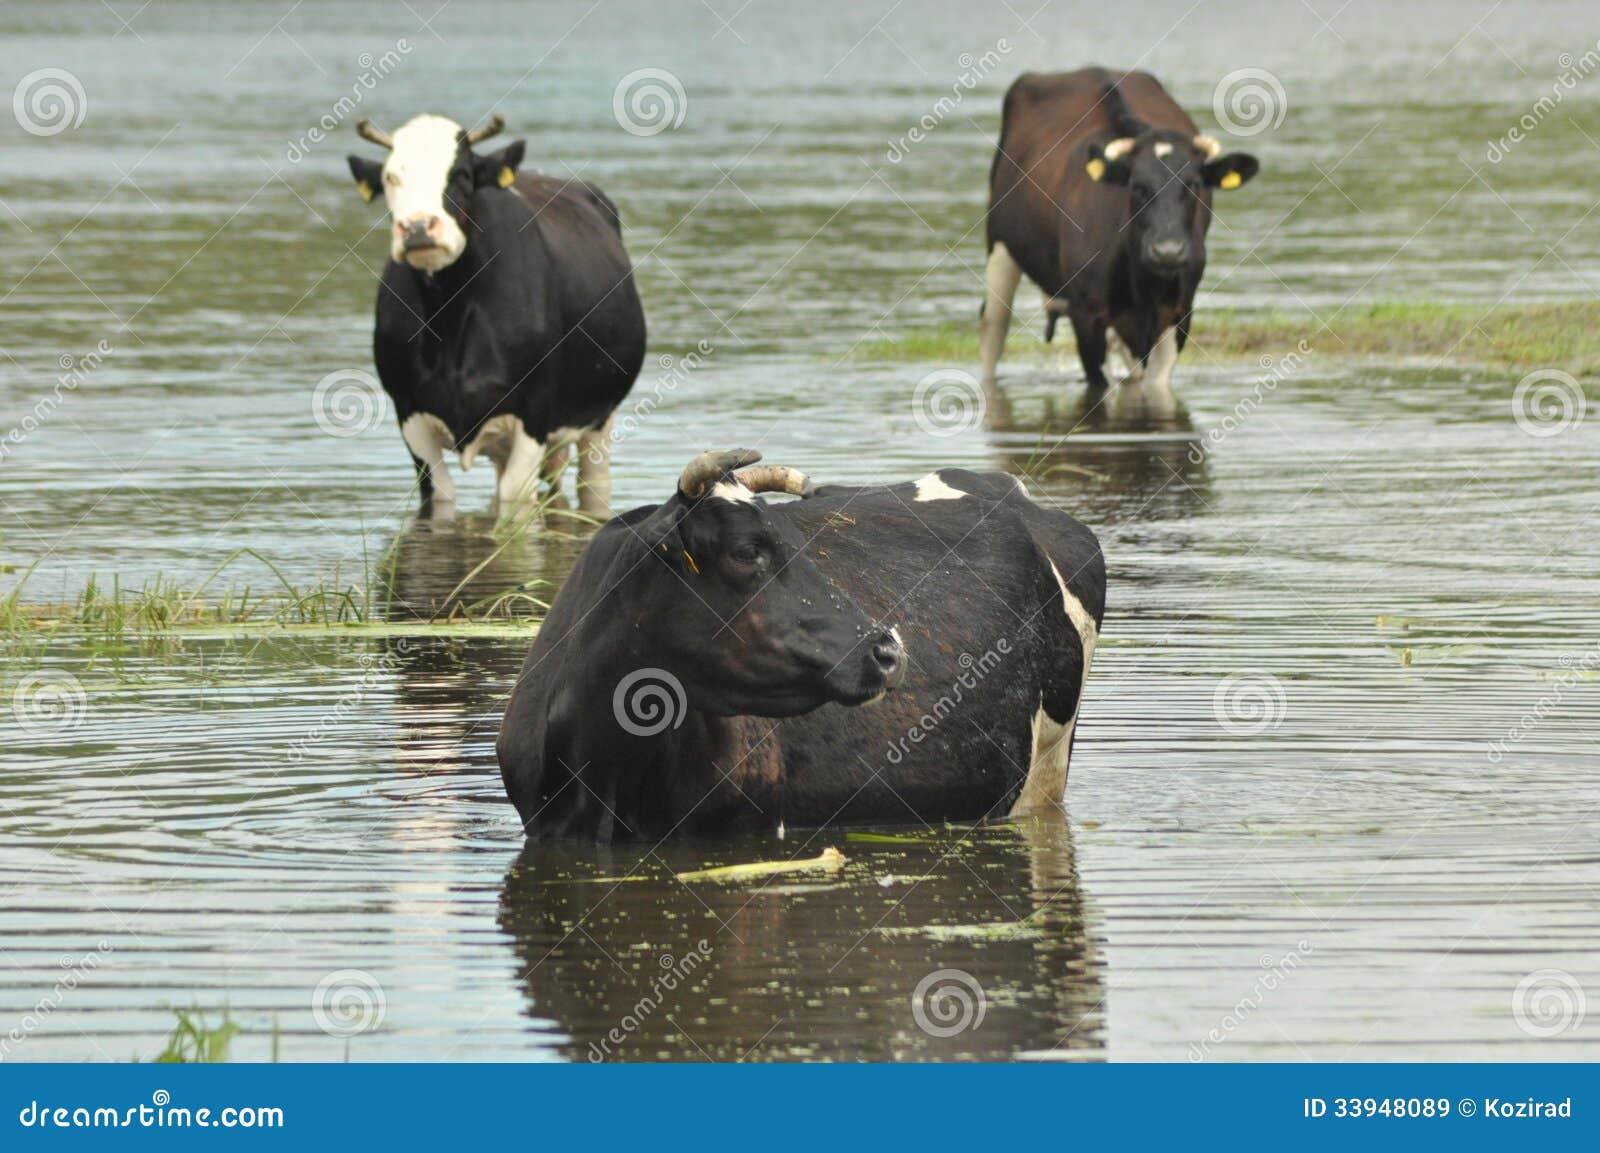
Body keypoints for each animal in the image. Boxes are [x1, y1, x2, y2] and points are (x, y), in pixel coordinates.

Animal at [347, 113, 646, 515]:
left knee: (592, 486)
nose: (418, 227)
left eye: (460, 175)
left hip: (599, 418)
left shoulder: (534, 409)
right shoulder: (407, 410)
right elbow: (441, 493)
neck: (450, 317)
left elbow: (515, 498)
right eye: (390, 177)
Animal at [980, 68, 1259, 401]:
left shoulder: (1179, 312)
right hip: (999, 251)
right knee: (993, 330)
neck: (1143, 285)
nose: (1167, 251)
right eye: (1137, 186)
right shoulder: (1086, 316)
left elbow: (1155, 385)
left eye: (1193, 184)